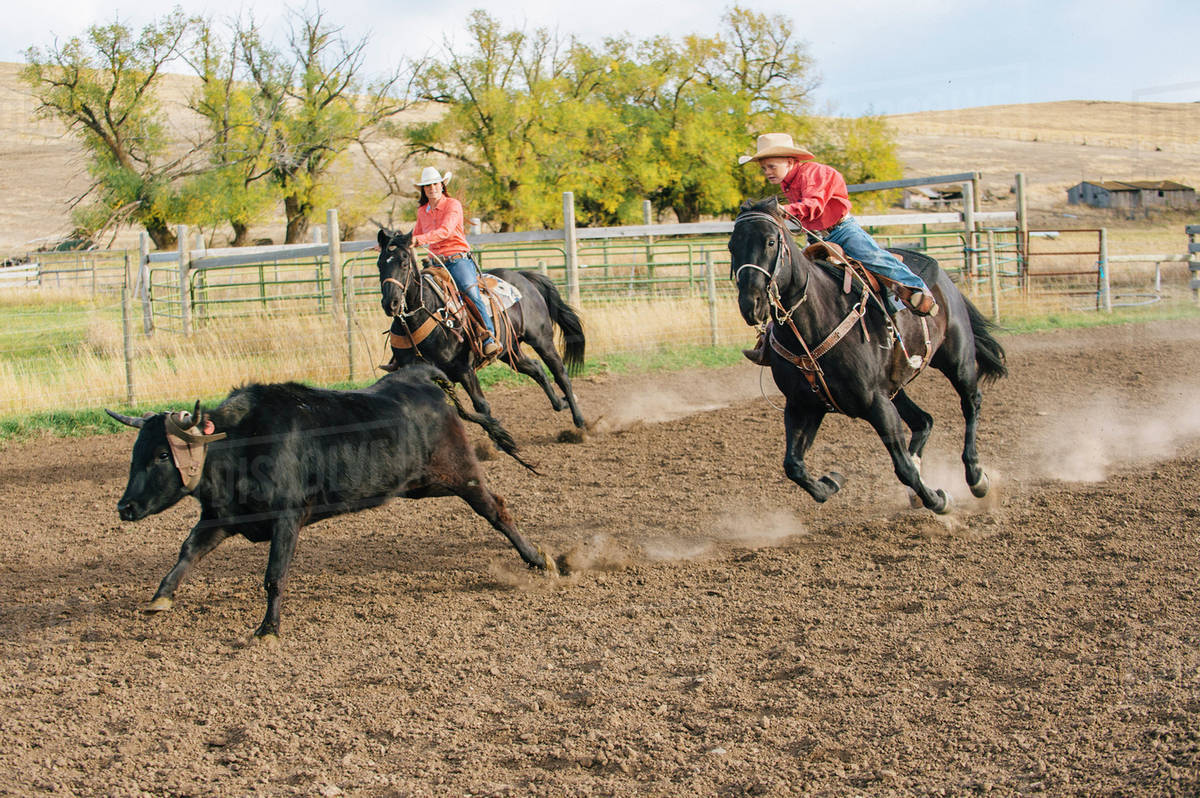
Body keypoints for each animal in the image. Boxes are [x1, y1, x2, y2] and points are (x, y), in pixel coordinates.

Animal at [106, 364, 556, 640]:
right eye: (136, 452)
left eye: (162, 455)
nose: (125, 508)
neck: (241, 442)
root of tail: (422, 377)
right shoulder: (221, 518)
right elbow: (188, 551)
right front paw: (160, 597)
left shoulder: (287, 518)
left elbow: (275, 574)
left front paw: (268, 629)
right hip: (423, 483)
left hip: (458, 471)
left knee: (496, 509)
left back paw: (540, 560)